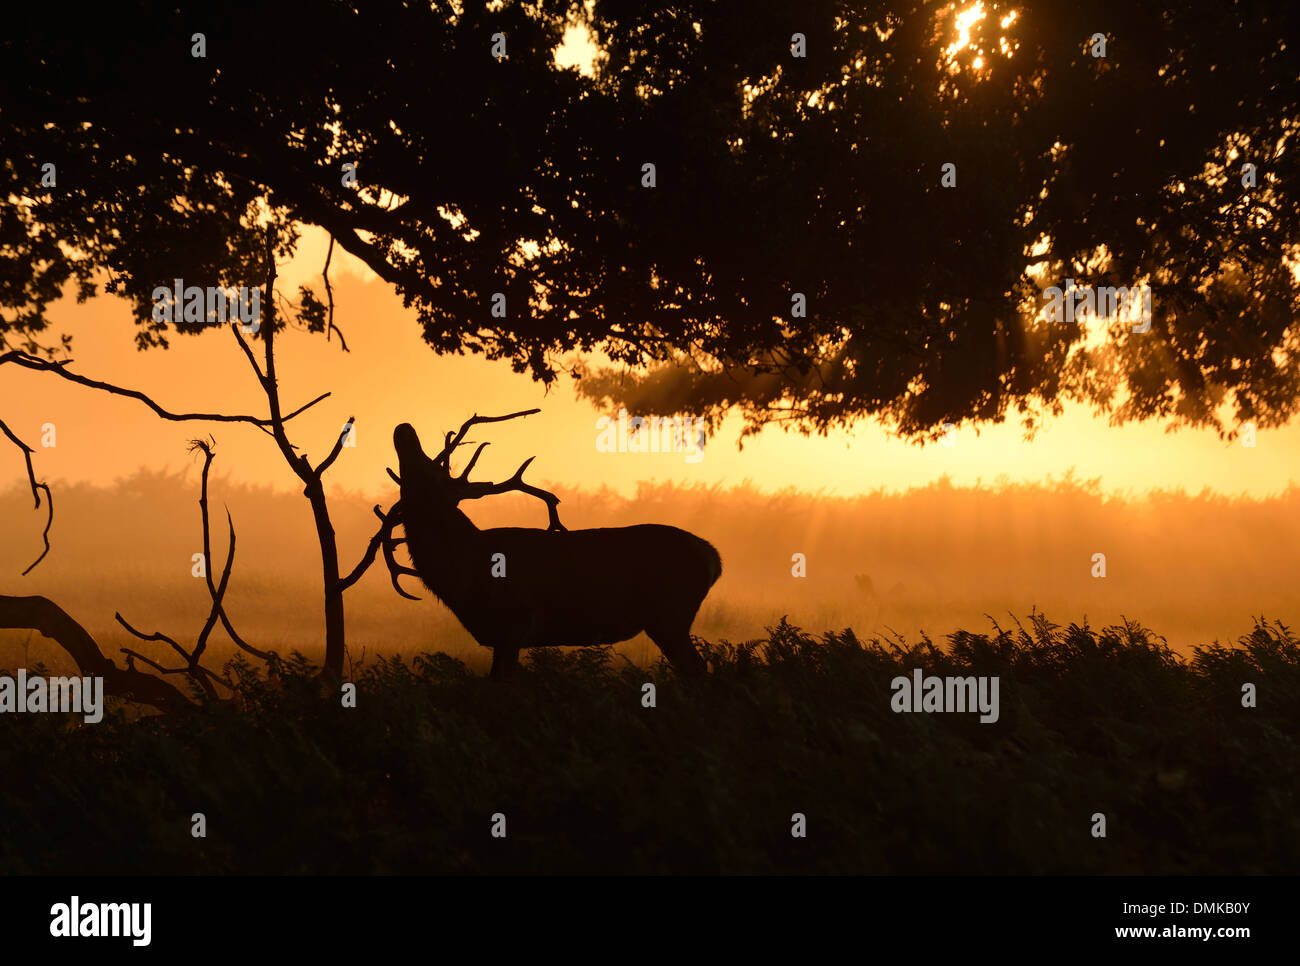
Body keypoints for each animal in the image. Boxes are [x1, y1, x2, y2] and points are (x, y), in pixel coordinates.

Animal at [381, 409, 722, 679]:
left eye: (434, 472)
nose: (404, 429)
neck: (465, 578)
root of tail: (714, 558)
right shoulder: (498, 635)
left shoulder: (514, 623)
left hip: (671, 615)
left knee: (697, 669)